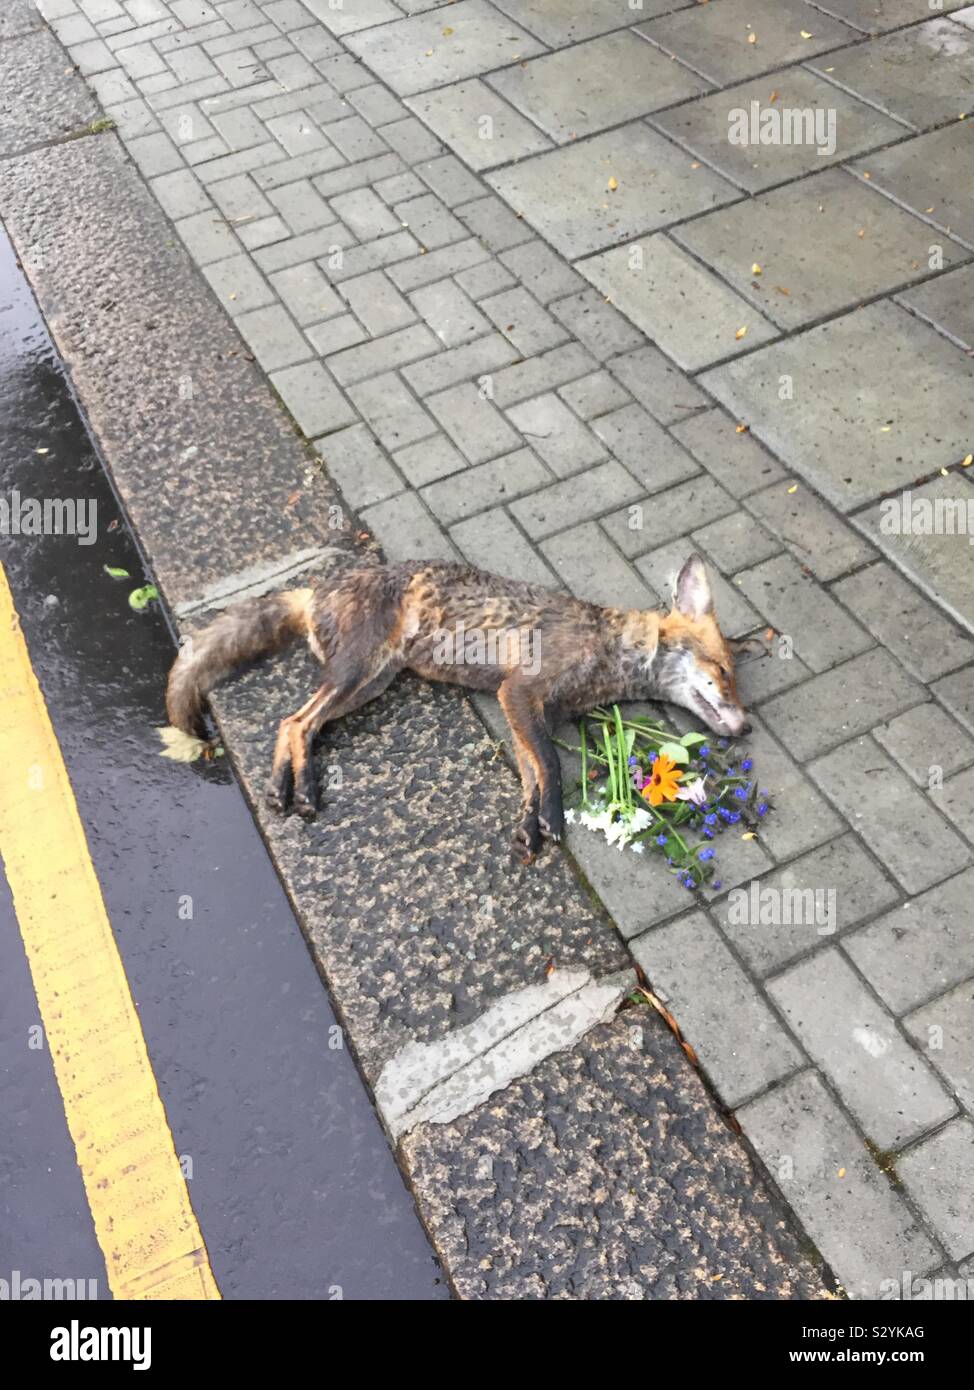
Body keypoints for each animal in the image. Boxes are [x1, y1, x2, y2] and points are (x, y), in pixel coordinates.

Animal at [165, 552, 750, 862]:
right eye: (724, 672)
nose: (744, 728)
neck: (609, 650)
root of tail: (316, 589)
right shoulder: (520, 692)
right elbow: (552, 767)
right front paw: (552, 821)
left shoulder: (527, 709)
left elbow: (531, 774)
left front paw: (528, 827)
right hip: (356, 672)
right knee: (294, 720)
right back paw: (300, 788)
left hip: (370, 684)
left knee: (296, 725)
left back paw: (285, 787)